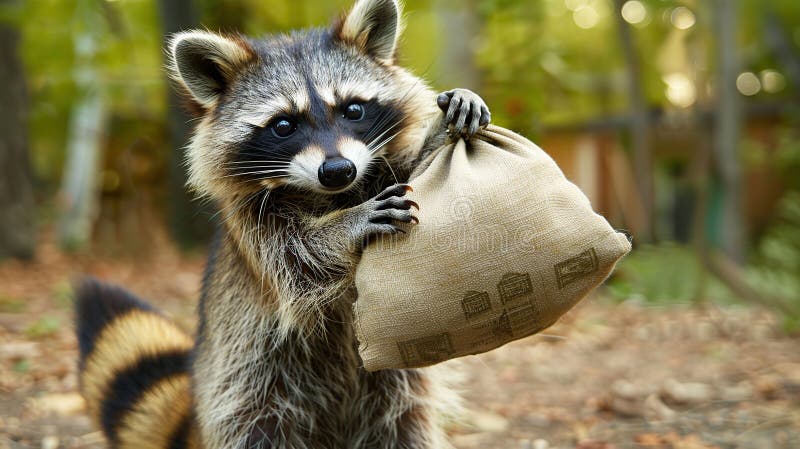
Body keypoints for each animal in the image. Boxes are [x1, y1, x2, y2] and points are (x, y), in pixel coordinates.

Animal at [75, 0, 491, 448]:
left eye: (353, 109)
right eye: (283, 125)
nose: (339, 170)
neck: (331, 195)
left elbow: (416, 172)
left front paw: (442, 127)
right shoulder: (252, 227)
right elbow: (299, 259)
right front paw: (346, 227)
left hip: (393, 388)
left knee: (403, 424)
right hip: (244, 387)